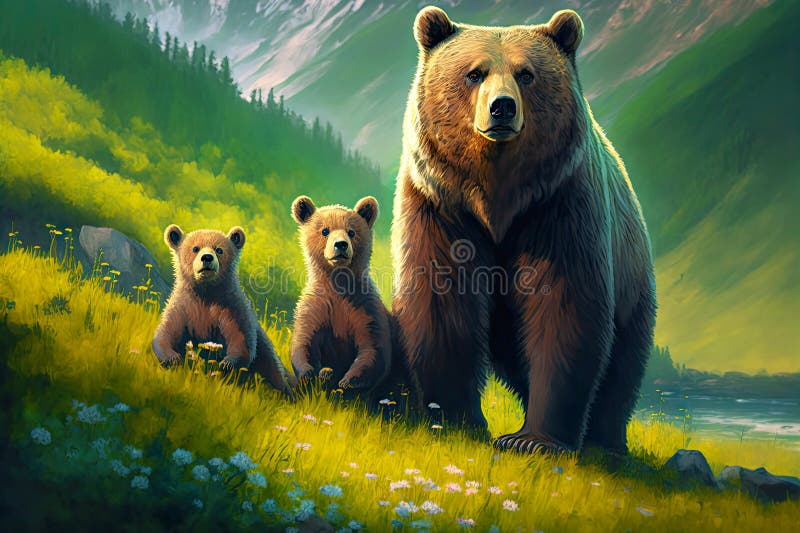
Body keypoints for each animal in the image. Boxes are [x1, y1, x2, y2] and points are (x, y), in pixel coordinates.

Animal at [152, 225, 294, 395]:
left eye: (219, 250)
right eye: (195, 248)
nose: (207, 257)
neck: (207, 292)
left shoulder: (230, 308)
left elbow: (241, 339)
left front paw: (226, 364)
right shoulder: (184, 307)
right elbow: (166, 333)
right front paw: (173, 358)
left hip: (267, 355)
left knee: (273, 372)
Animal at [290, 196, 392, 394]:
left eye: (351, 232)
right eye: (325, 230)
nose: (341, 244)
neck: (338, 282)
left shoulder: (364, 307)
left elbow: (372, 348)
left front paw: (348, 380)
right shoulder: (316, 306)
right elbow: (304, 341)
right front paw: (310, 373)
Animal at [391, 6, 656, 454]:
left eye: (526, 73)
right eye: (474, 73)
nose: (502, 108)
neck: (497, 196)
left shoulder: (559, 204)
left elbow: (564, 306)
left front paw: (533, 441)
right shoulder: (441, 204)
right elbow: (441, 300)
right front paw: (454, 419)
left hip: (631, 275)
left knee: (623, 362)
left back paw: (606, 441)